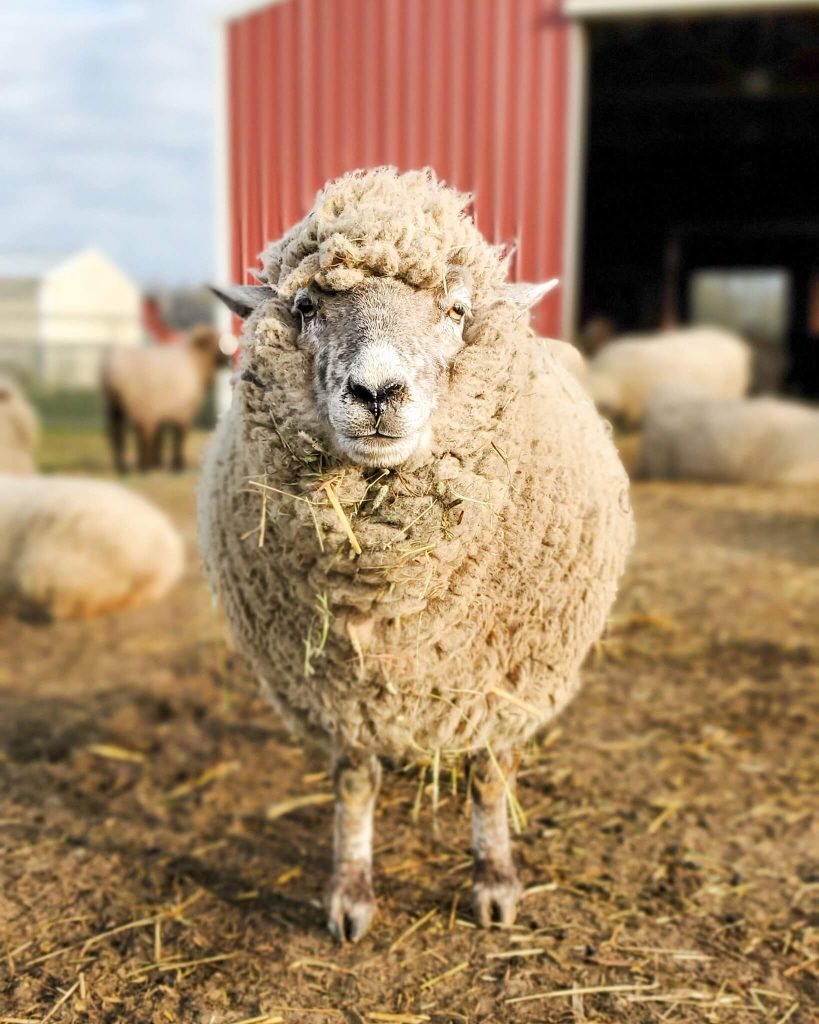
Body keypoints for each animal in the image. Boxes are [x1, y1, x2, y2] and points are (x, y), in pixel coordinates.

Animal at [102, 325, 227, 473]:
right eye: (215, 341)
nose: (229, 358)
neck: (194, 360)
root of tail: (112, 368)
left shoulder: (165, 411)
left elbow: (160, 438)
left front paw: (159, 462)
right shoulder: (183, 412)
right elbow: (178, 438)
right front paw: (177, 465)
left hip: (114, 406)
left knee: (118, 433)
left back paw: (124, 467)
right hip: (140, 406)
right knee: (140, 434)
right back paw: (143, 467)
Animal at [200, 167, 634, 941]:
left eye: (457, 310)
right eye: (306, 306)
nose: (376, 391)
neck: (393, 584)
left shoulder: (508, 679)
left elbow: (489, 775)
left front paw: (494, 881)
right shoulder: (339, 691)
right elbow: (354, 781)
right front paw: (350, 892)